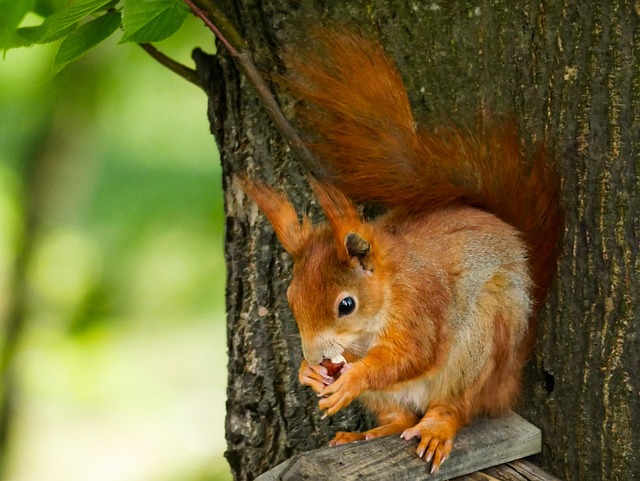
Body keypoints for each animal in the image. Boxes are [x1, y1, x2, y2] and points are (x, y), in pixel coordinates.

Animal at [240, 29, 562, 473]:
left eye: (346, 305)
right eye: (290, 300)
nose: (318, 357)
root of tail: (507, 380)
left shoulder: (420, 304)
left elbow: (412, 354)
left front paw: (353, 378)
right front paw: (308, 373)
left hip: (481, 345)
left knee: (455, 406)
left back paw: (437, 427)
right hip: (395, 397)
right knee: (399, 417)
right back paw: (366, 433)